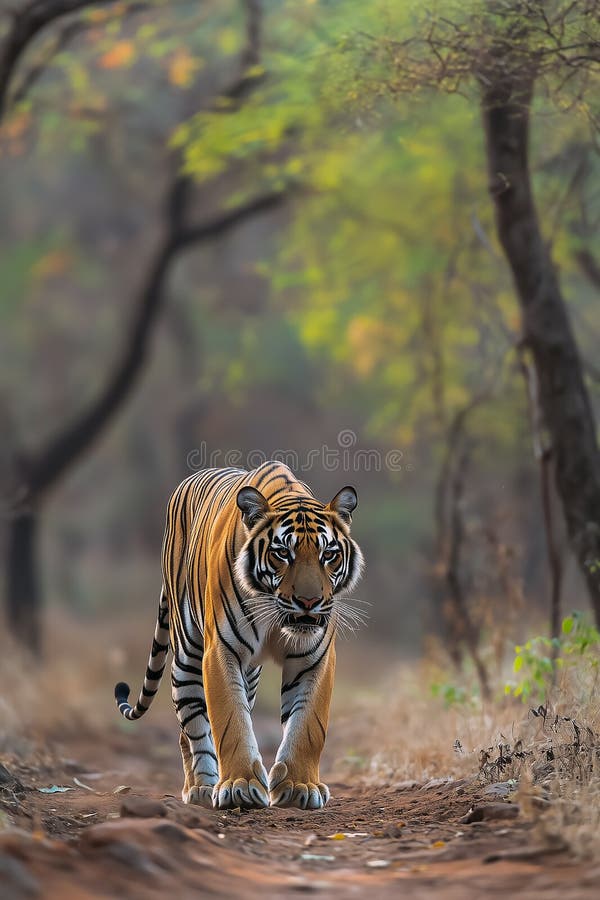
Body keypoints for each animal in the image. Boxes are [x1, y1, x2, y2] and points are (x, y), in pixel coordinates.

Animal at [114, 461, 364, 810]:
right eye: (282, 553)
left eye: (328, 555)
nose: (309, 602)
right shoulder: (221, 650)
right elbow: (231, 720)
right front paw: (239, 786)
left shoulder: (314, 657)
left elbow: (307, 725)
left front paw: (299, 786)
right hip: (187, 657)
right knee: (191, 728)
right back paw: (201, 787)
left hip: (251, 673)